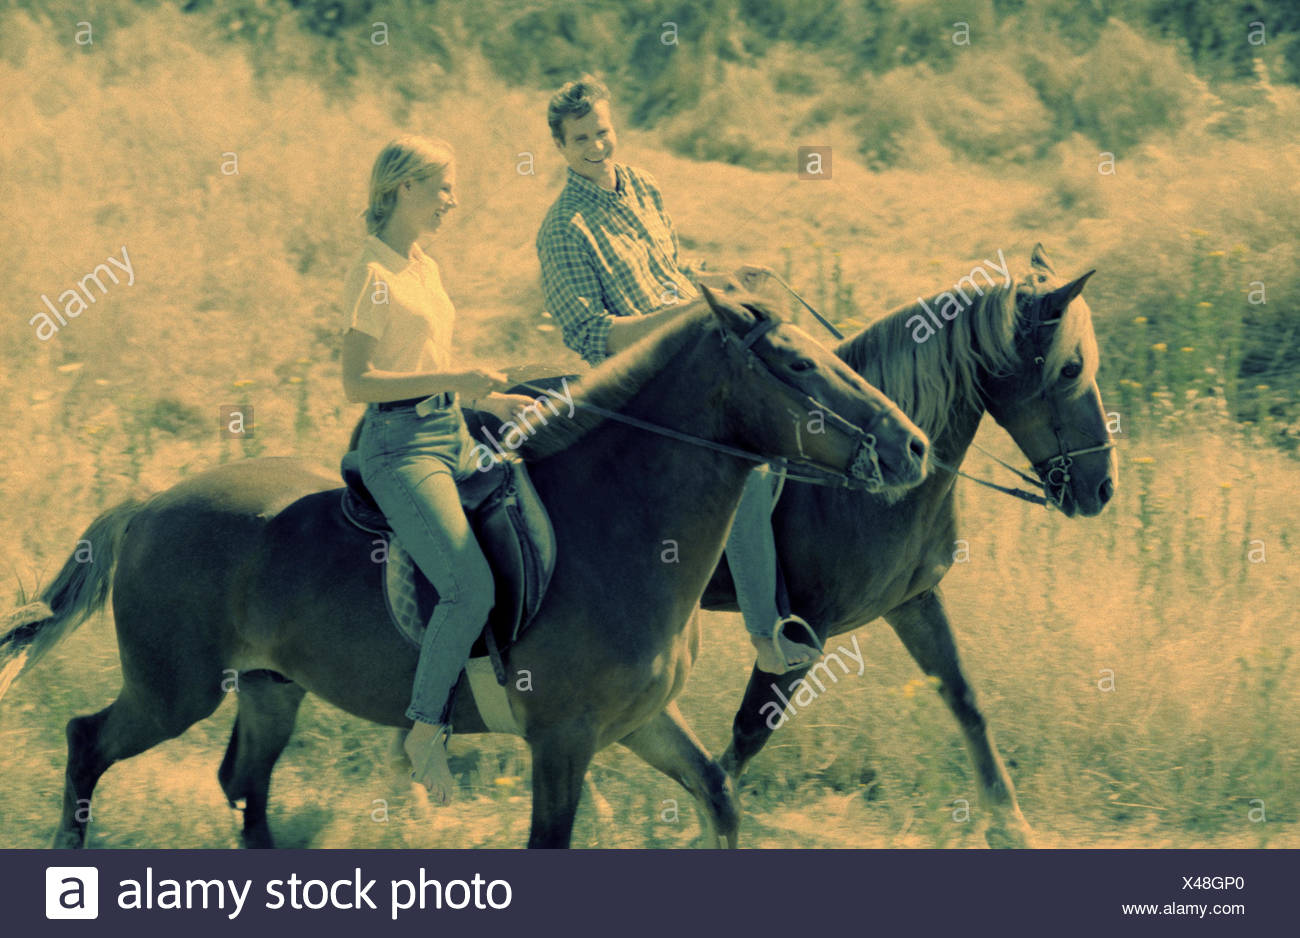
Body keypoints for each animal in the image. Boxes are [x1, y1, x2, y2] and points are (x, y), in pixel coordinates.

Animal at [0, 289, 930, 849]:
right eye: (801, 364)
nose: (913, 444)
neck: (622, 525)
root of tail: (151, 503)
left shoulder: (640, 723)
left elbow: (717, 796)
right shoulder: (563, 740)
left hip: (270, 687)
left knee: (244, 783)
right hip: (174, 691)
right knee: (87, 743)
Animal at [701, 246, 1117, 847]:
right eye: (1069, 368)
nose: (1103, 487)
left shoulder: (913, 603)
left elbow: (964, 698)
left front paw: (1009, 822)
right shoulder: (801, 630)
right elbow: (751, 729)